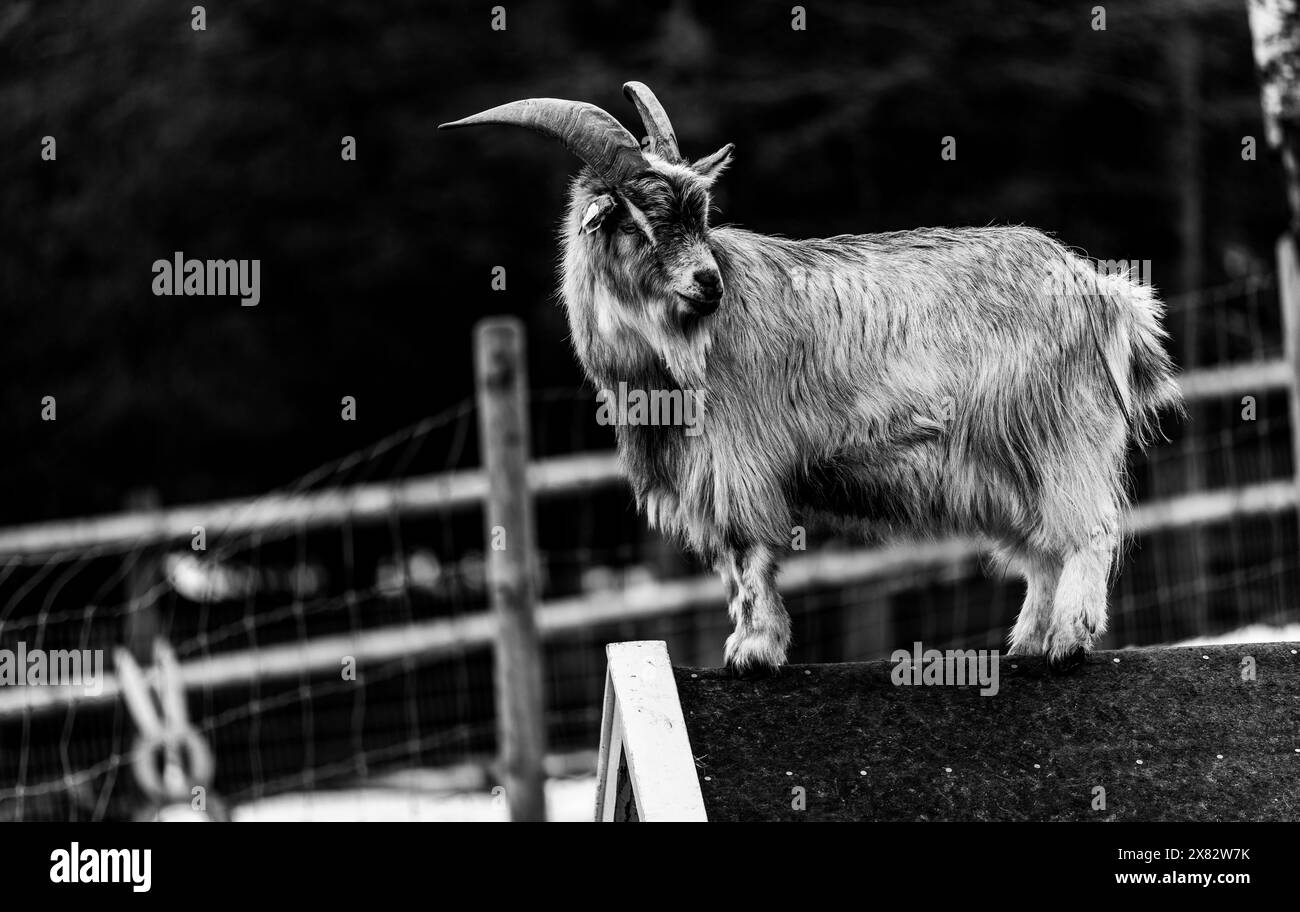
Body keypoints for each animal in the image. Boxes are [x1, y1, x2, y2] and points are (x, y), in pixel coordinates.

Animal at [441, 83, 1182, 674]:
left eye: (699, 214)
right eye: (635, 220)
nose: (708, 284)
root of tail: (1097, 288)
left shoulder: (737, 461)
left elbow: (748, 555)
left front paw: (752, 651)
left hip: (1055, 431)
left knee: (1085, 529)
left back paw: (1067, 642)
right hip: (1000, 464)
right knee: (1040, 547)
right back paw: (1027, 642)